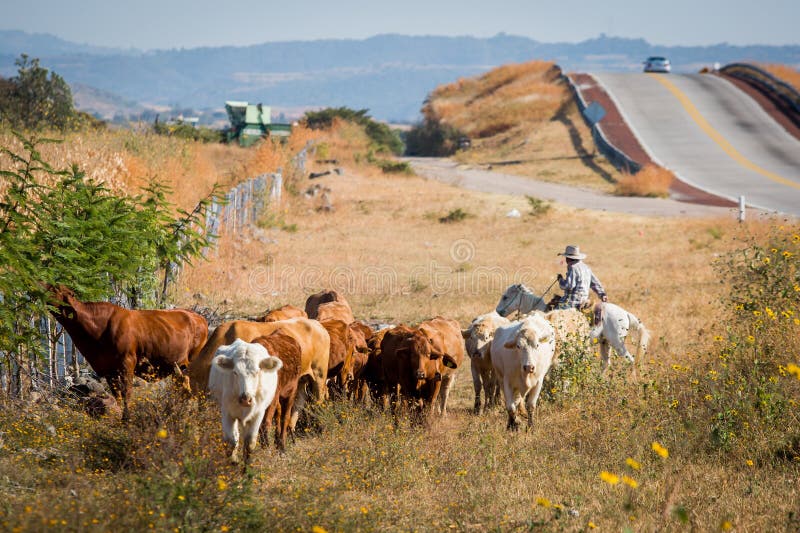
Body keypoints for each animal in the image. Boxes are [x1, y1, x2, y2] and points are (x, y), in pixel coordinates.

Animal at [47, 285, 208, 422]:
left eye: (55, 289)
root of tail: (197, 316)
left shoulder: (127, 364)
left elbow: (126, 393)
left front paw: (127, 419)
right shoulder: (109, 370)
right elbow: (117, 394)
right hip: (178, 368)